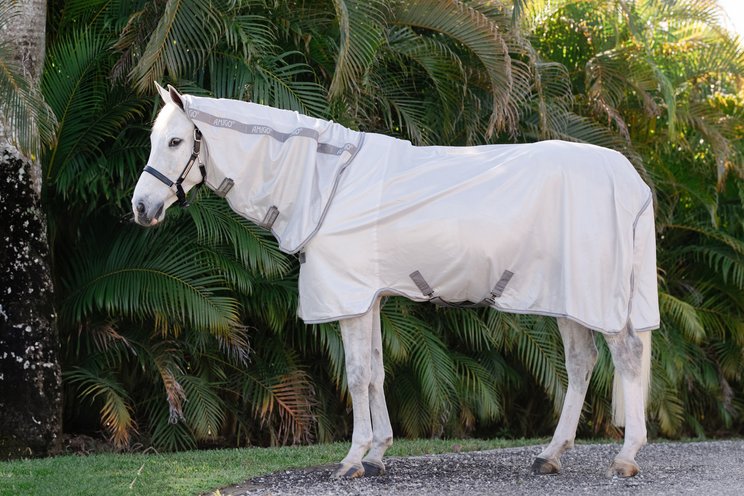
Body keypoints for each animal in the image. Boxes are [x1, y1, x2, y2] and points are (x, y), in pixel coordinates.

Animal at [132, 83, 659, 479]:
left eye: (176, 141)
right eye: (156, 140)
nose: (140, 207)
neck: (325, 182)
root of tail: (631, 180)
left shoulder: (348, 299)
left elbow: (356, 374)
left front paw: (352, 459)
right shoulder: (369, 299)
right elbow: (377, 371)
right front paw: (379, 453)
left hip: (596, 297)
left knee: (626, 355)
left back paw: (626, 456)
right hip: (569, 298)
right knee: (582, 363)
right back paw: (551, 454)